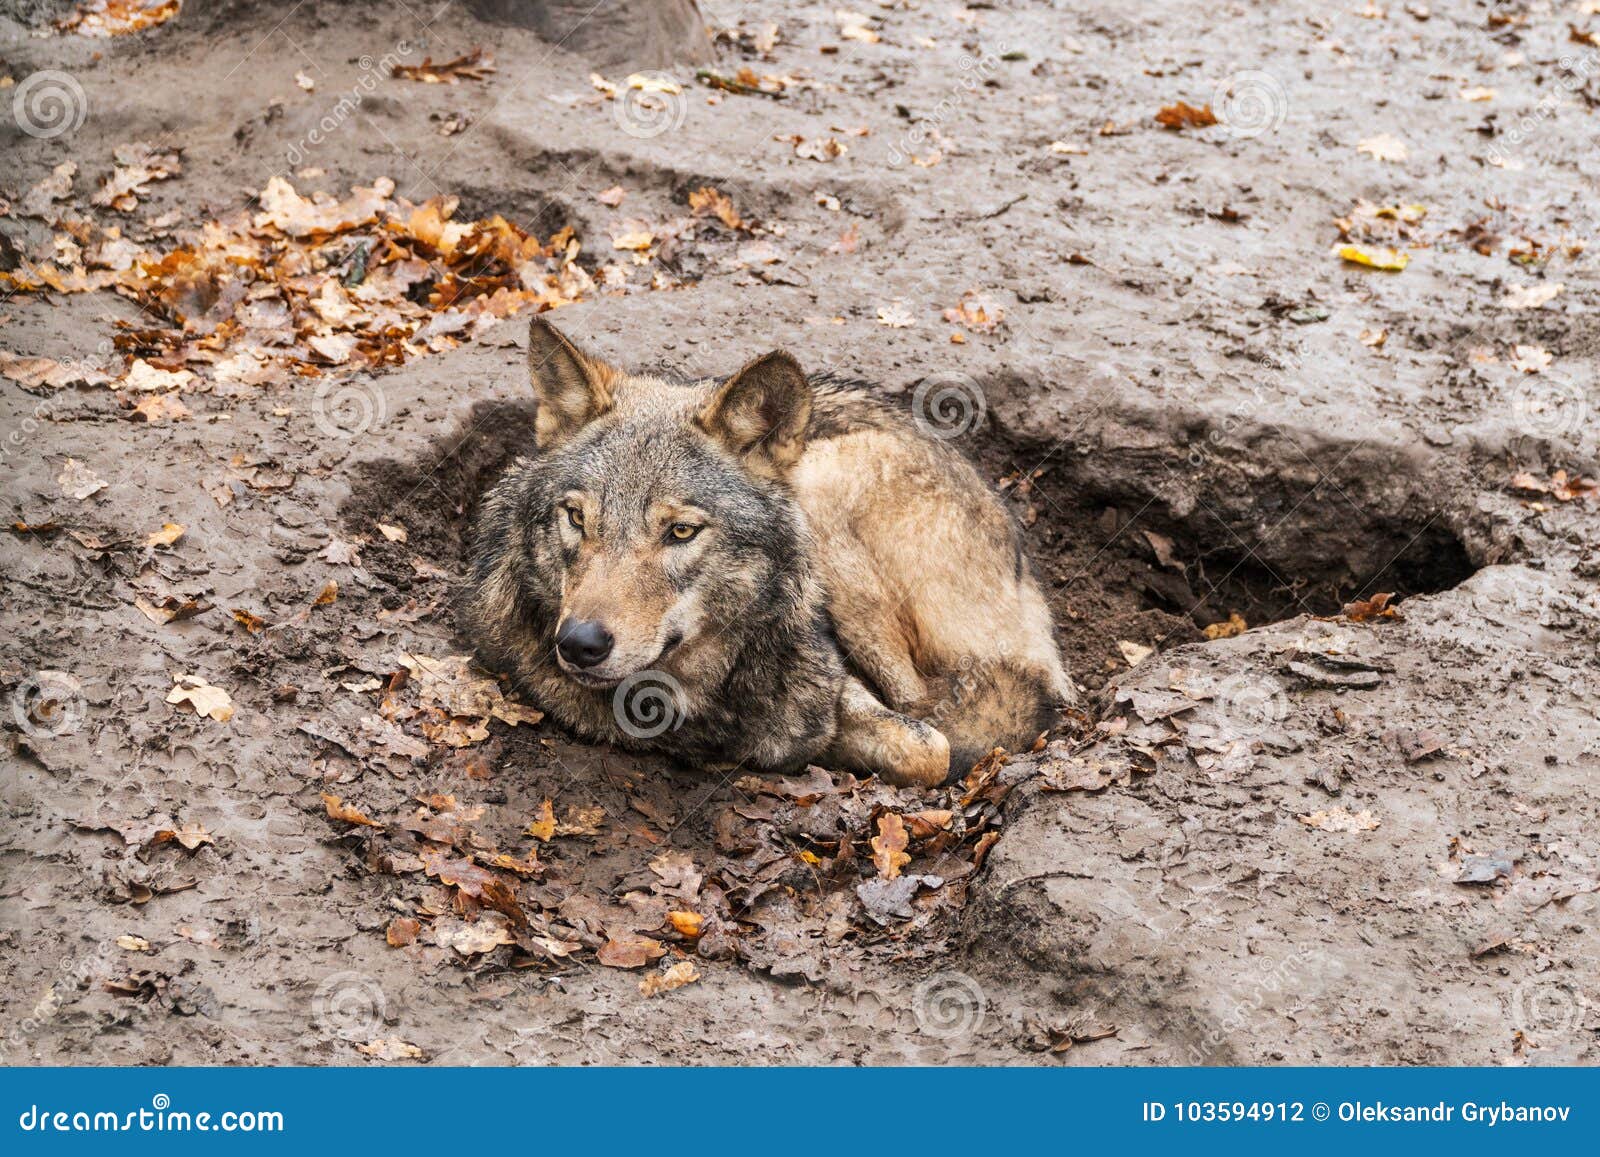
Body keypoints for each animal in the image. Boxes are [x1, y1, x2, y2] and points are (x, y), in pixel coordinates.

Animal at [464, 316, 1075, 787]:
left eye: (680, 532)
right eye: (576, 519)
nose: (579, 643)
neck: (708, 698)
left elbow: (929, 750)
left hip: (825, 492)